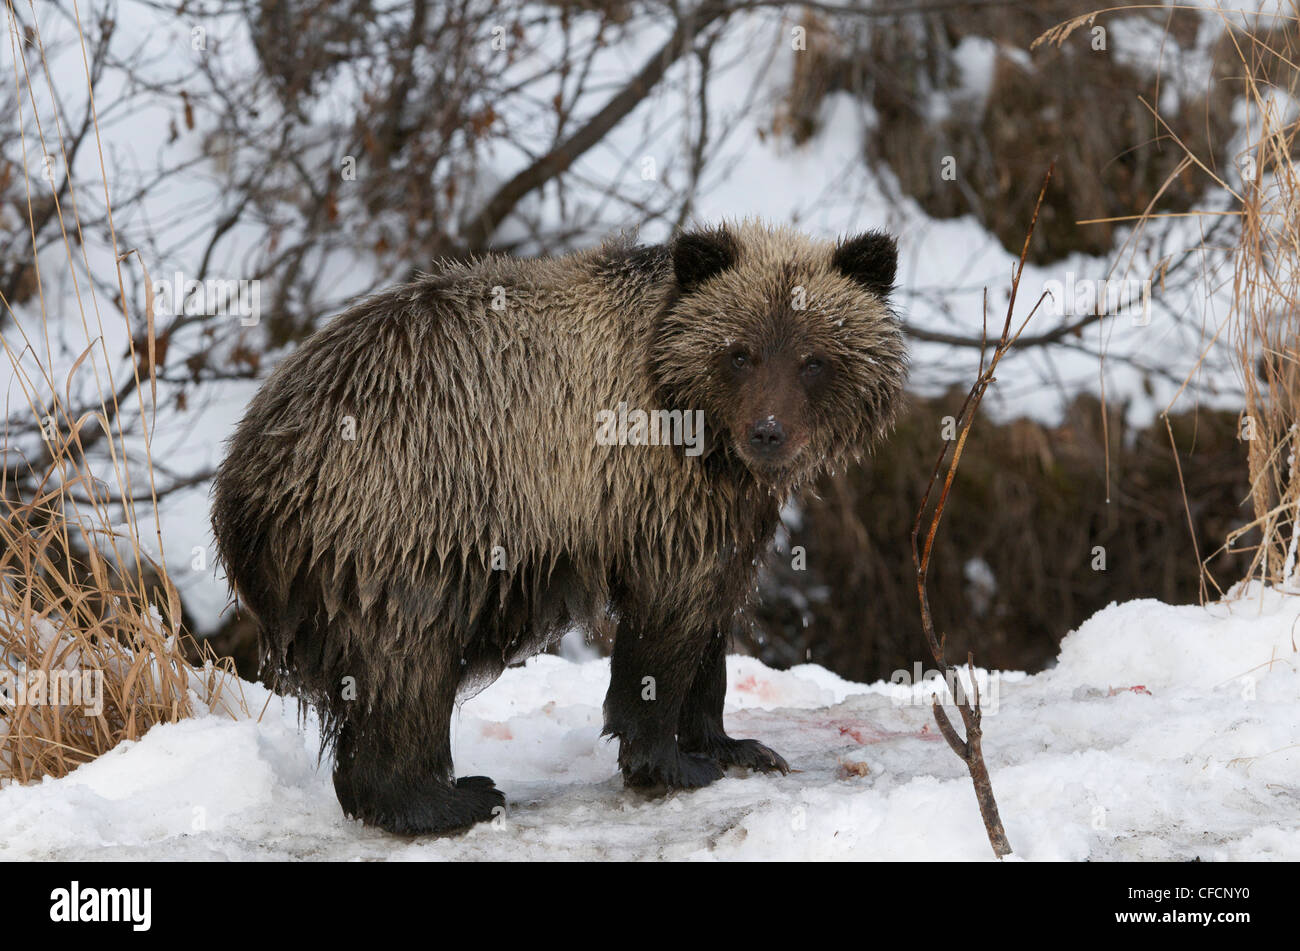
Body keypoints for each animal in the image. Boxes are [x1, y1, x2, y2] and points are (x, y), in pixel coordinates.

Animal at [210, 220, 907, 835]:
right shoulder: (656, 493)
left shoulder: (723, 511)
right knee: (405, 664)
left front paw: (735, 745)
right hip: (404, 518)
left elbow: (711, 616)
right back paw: (451, 799)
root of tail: (243, 471)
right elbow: (666, 625)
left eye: (814, 359)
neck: (696, 420)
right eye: (740, 354)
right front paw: (670, 762)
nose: (768, 432)